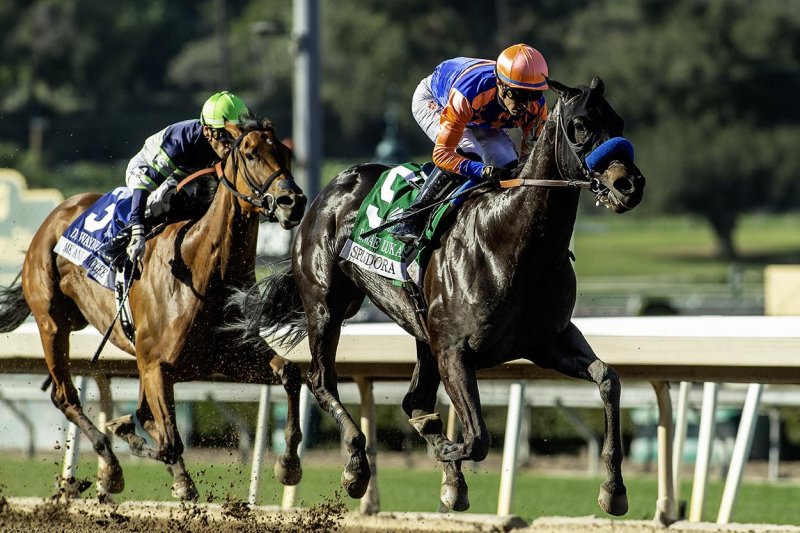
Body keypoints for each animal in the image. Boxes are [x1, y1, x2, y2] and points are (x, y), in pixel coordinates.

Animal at [0, 118, 307, 501]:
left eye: (286, 153)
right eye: (250, 154)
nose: (293, 202)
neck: (203, 271)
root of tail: (56, 214)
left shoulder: (230, 356)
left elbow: (291, 373)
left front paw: (289, 463)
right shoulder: (156, 366)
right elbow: (168, 441)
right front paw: (130, 450)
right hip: (52, 324)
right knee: (65, 396)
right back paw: (108, 467)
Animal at [233, 77, 645, 514]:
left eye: (618, 121)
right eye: (580, 125)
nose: (630, 184)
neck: (514, 242)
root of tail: (331, 187)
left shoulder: (548, 341)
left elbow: (608, 379)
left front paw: (614, 488)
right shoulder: (455, 350)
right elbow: (477, 438)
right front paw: (448, 453)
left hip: (420, 331)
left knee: (412, 399)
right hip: (327, 306)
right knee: (320, 379)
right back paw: (342, 465)